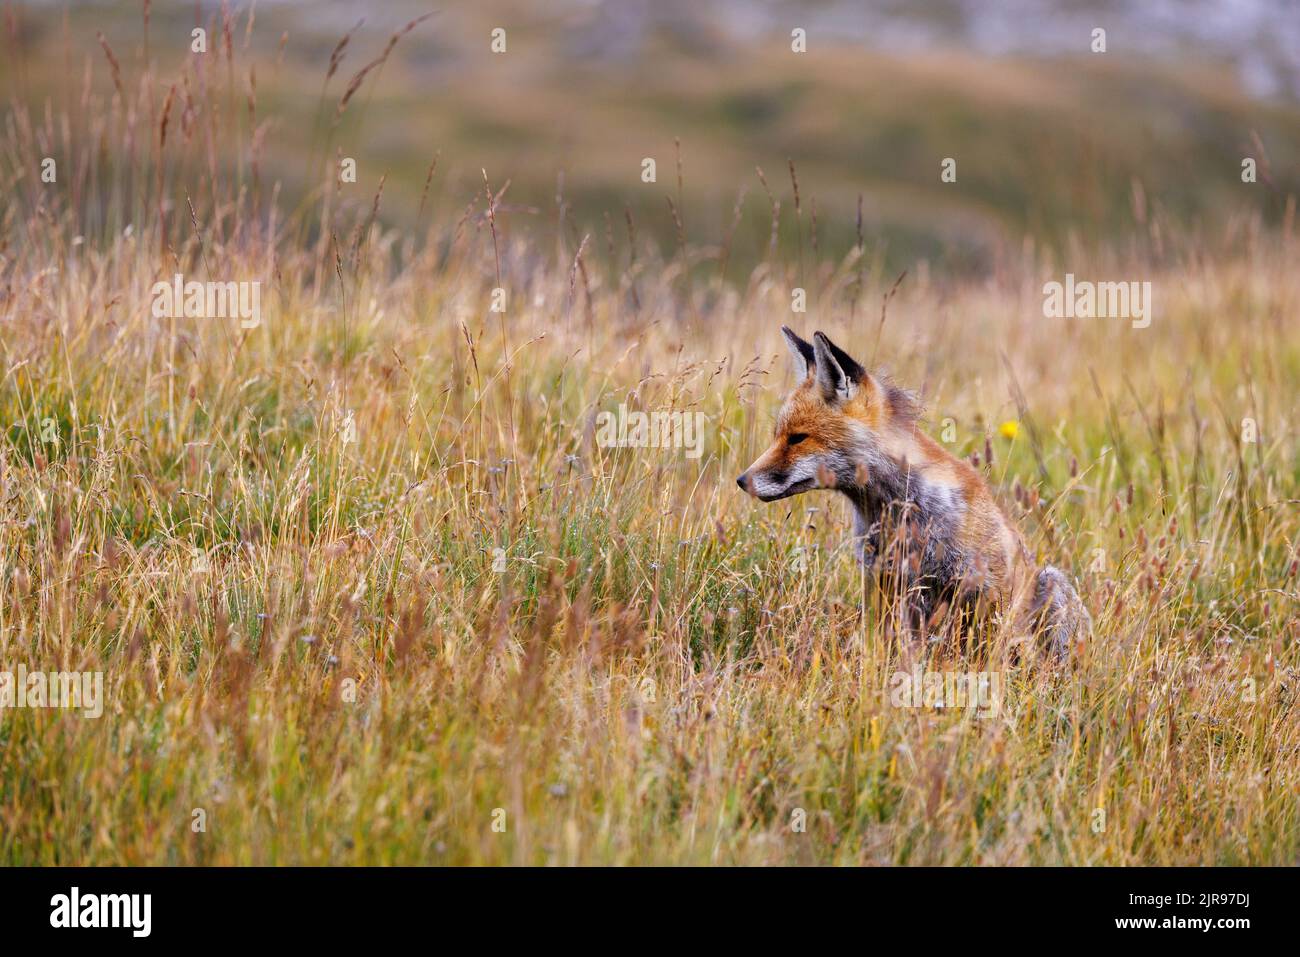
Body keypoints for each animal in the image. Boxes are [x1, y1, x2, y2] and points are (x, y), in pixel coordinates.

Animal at [736, 327, 1090, 658]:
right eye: (777, 436)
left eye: (797, 438)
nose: (742, 480)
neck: (898, 513)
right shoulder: (882, 583)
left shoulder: (987, 587)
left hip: (1051, 583)